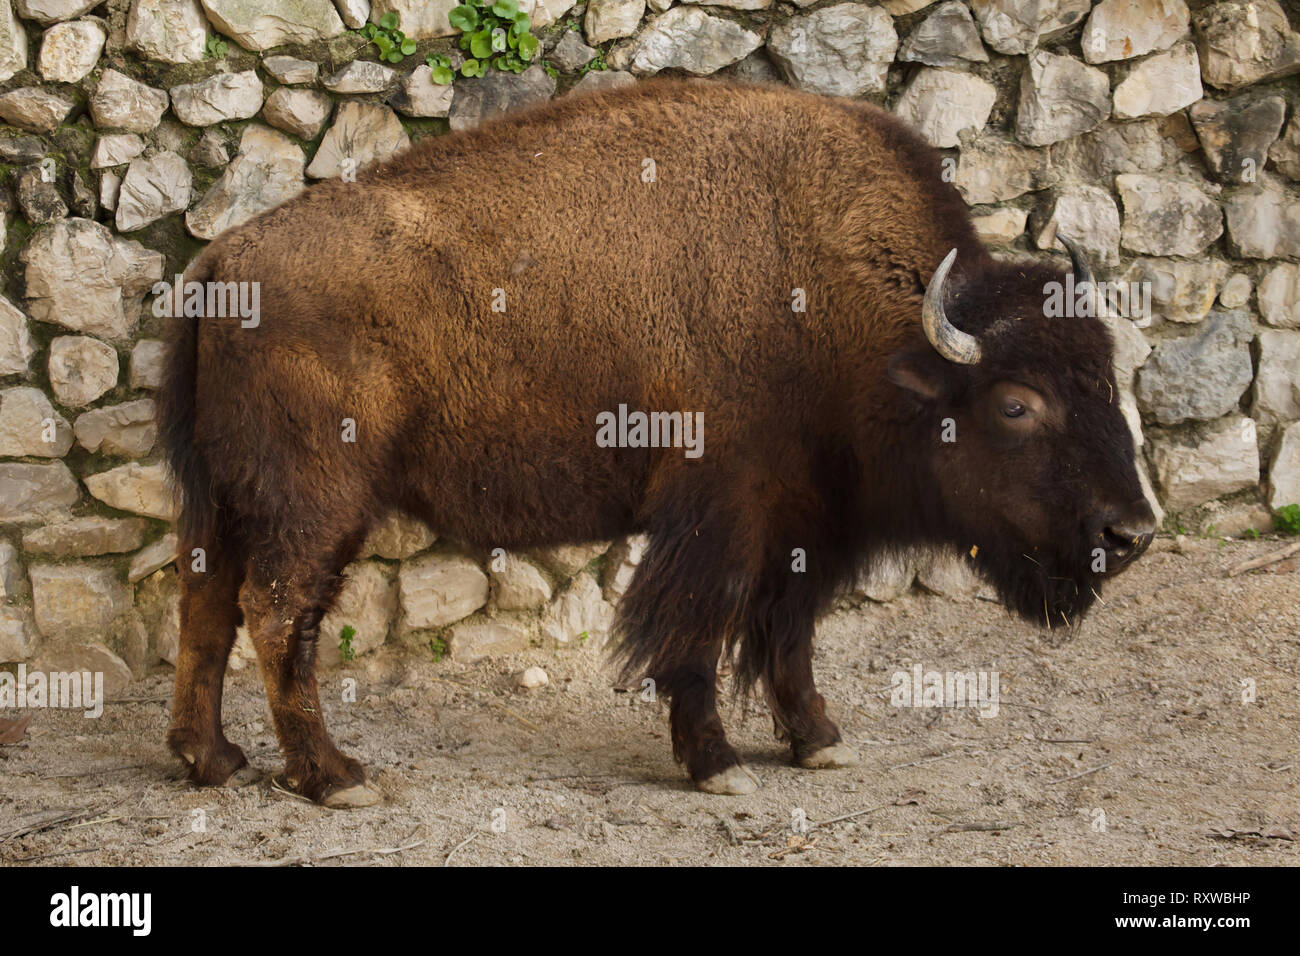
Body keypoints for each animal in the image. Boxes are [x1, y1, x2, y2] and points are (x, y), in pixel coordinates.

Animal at [158, 80, 1154, 806]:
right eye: (1017, 406)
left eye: (1110, 377)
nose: (1131, 534)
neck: (861, 320)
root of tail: (221, 263)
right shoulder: (723, 511)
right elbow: (699, 630)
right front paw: (719, 765)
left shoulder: (804, 525)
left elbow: (788, 630)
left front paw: (818, 743)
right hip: (314, 504)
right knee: (276, 613)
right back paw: (334, 778)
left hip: (220, 498)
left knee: (205, 607)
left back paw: (213, 760)